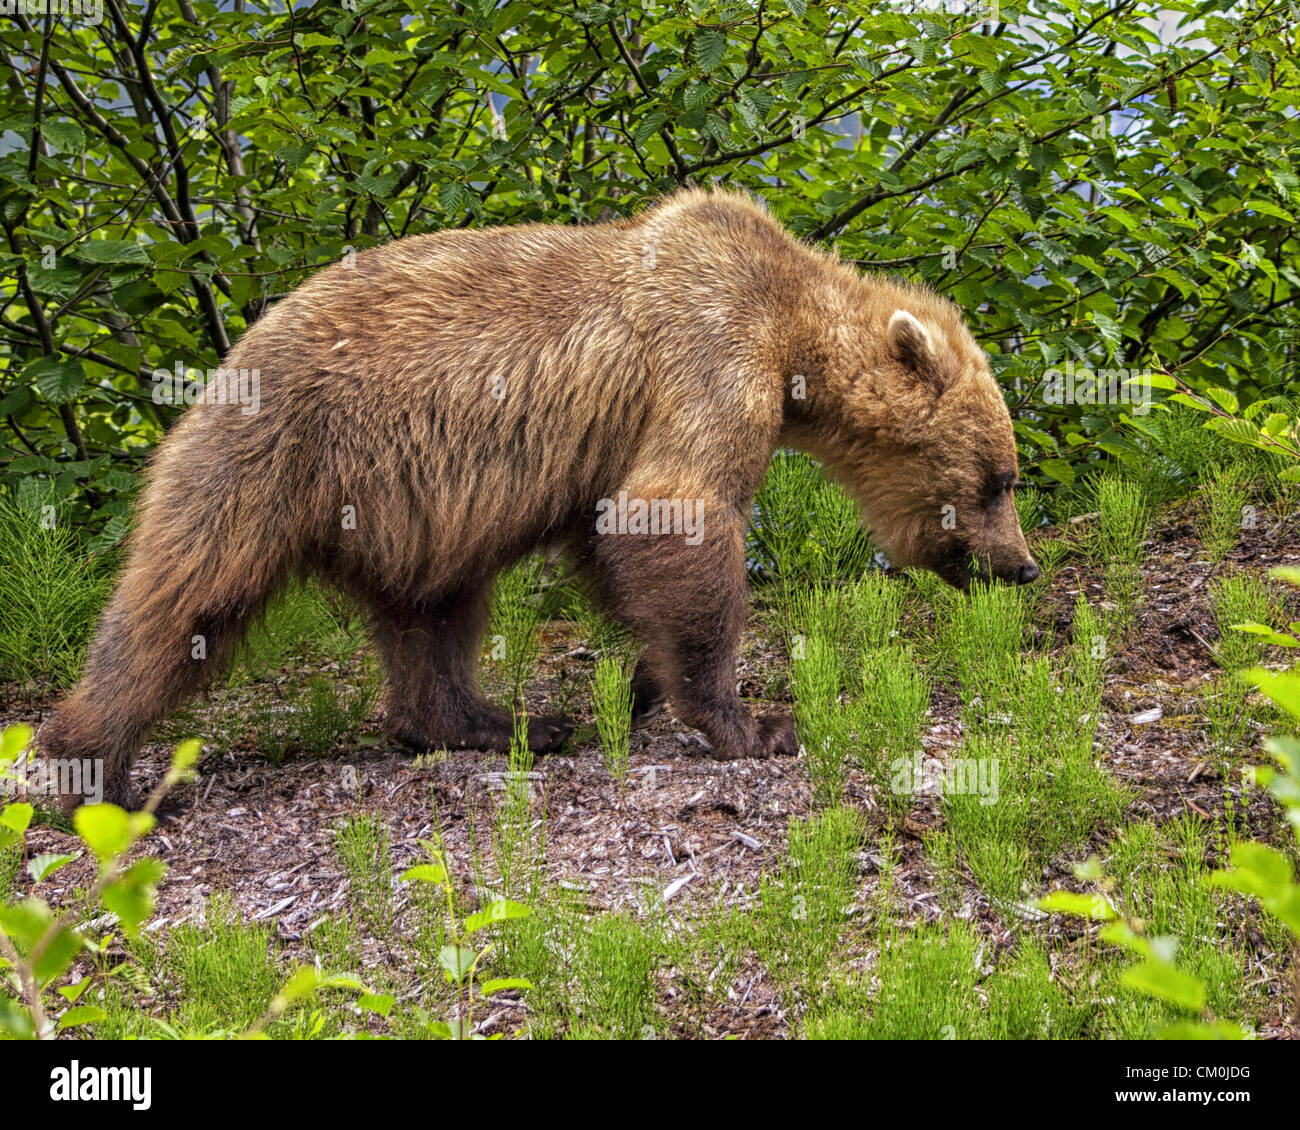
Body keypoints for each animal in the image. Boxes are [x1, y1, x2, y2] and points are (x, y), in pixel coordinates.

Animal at [37, 186, 1037, 809]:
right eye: (998, 480)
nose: (1023, 567)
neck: (794, 336)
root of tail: (225, 360)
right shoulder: (707, 353)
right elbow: (673, 510)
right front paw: (754, 722)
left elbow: (614, 542)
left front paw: (637, 684)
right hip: (272, 457)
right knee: (185, 599)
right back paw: (92, 767)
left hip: (410, 507)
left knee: (435, 612)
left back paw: (498, 721)